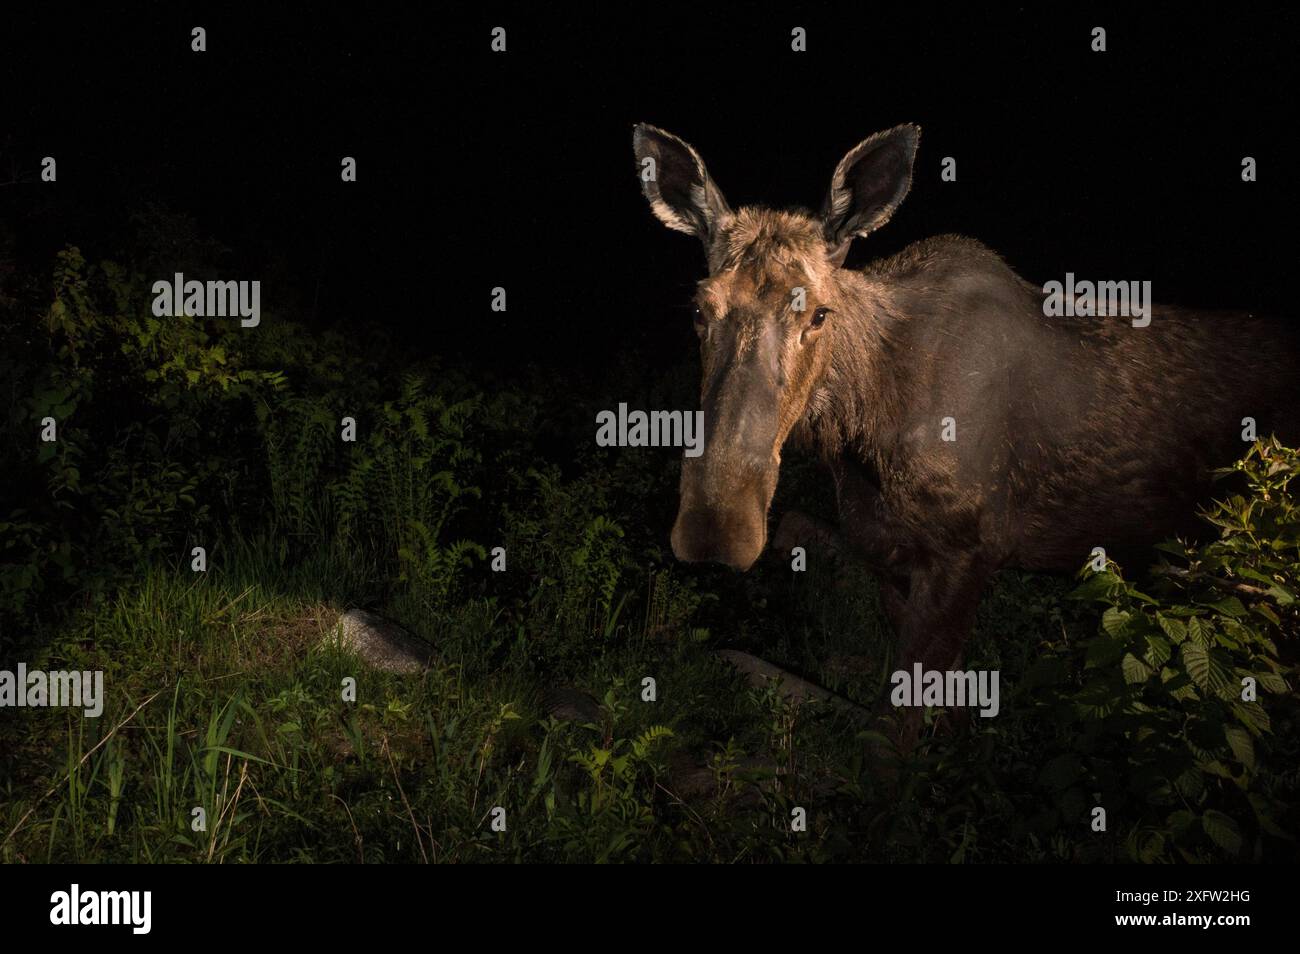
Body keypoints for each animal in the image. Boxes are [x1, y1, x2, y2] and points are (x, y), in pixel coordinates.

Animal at [631, 122, 1298, 744]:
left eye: (819, 312)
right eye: (699, 307)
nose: (718, 524)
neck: (861, 433)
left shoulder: (967, 551)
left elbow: (890, 741)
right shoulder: (886, 554)